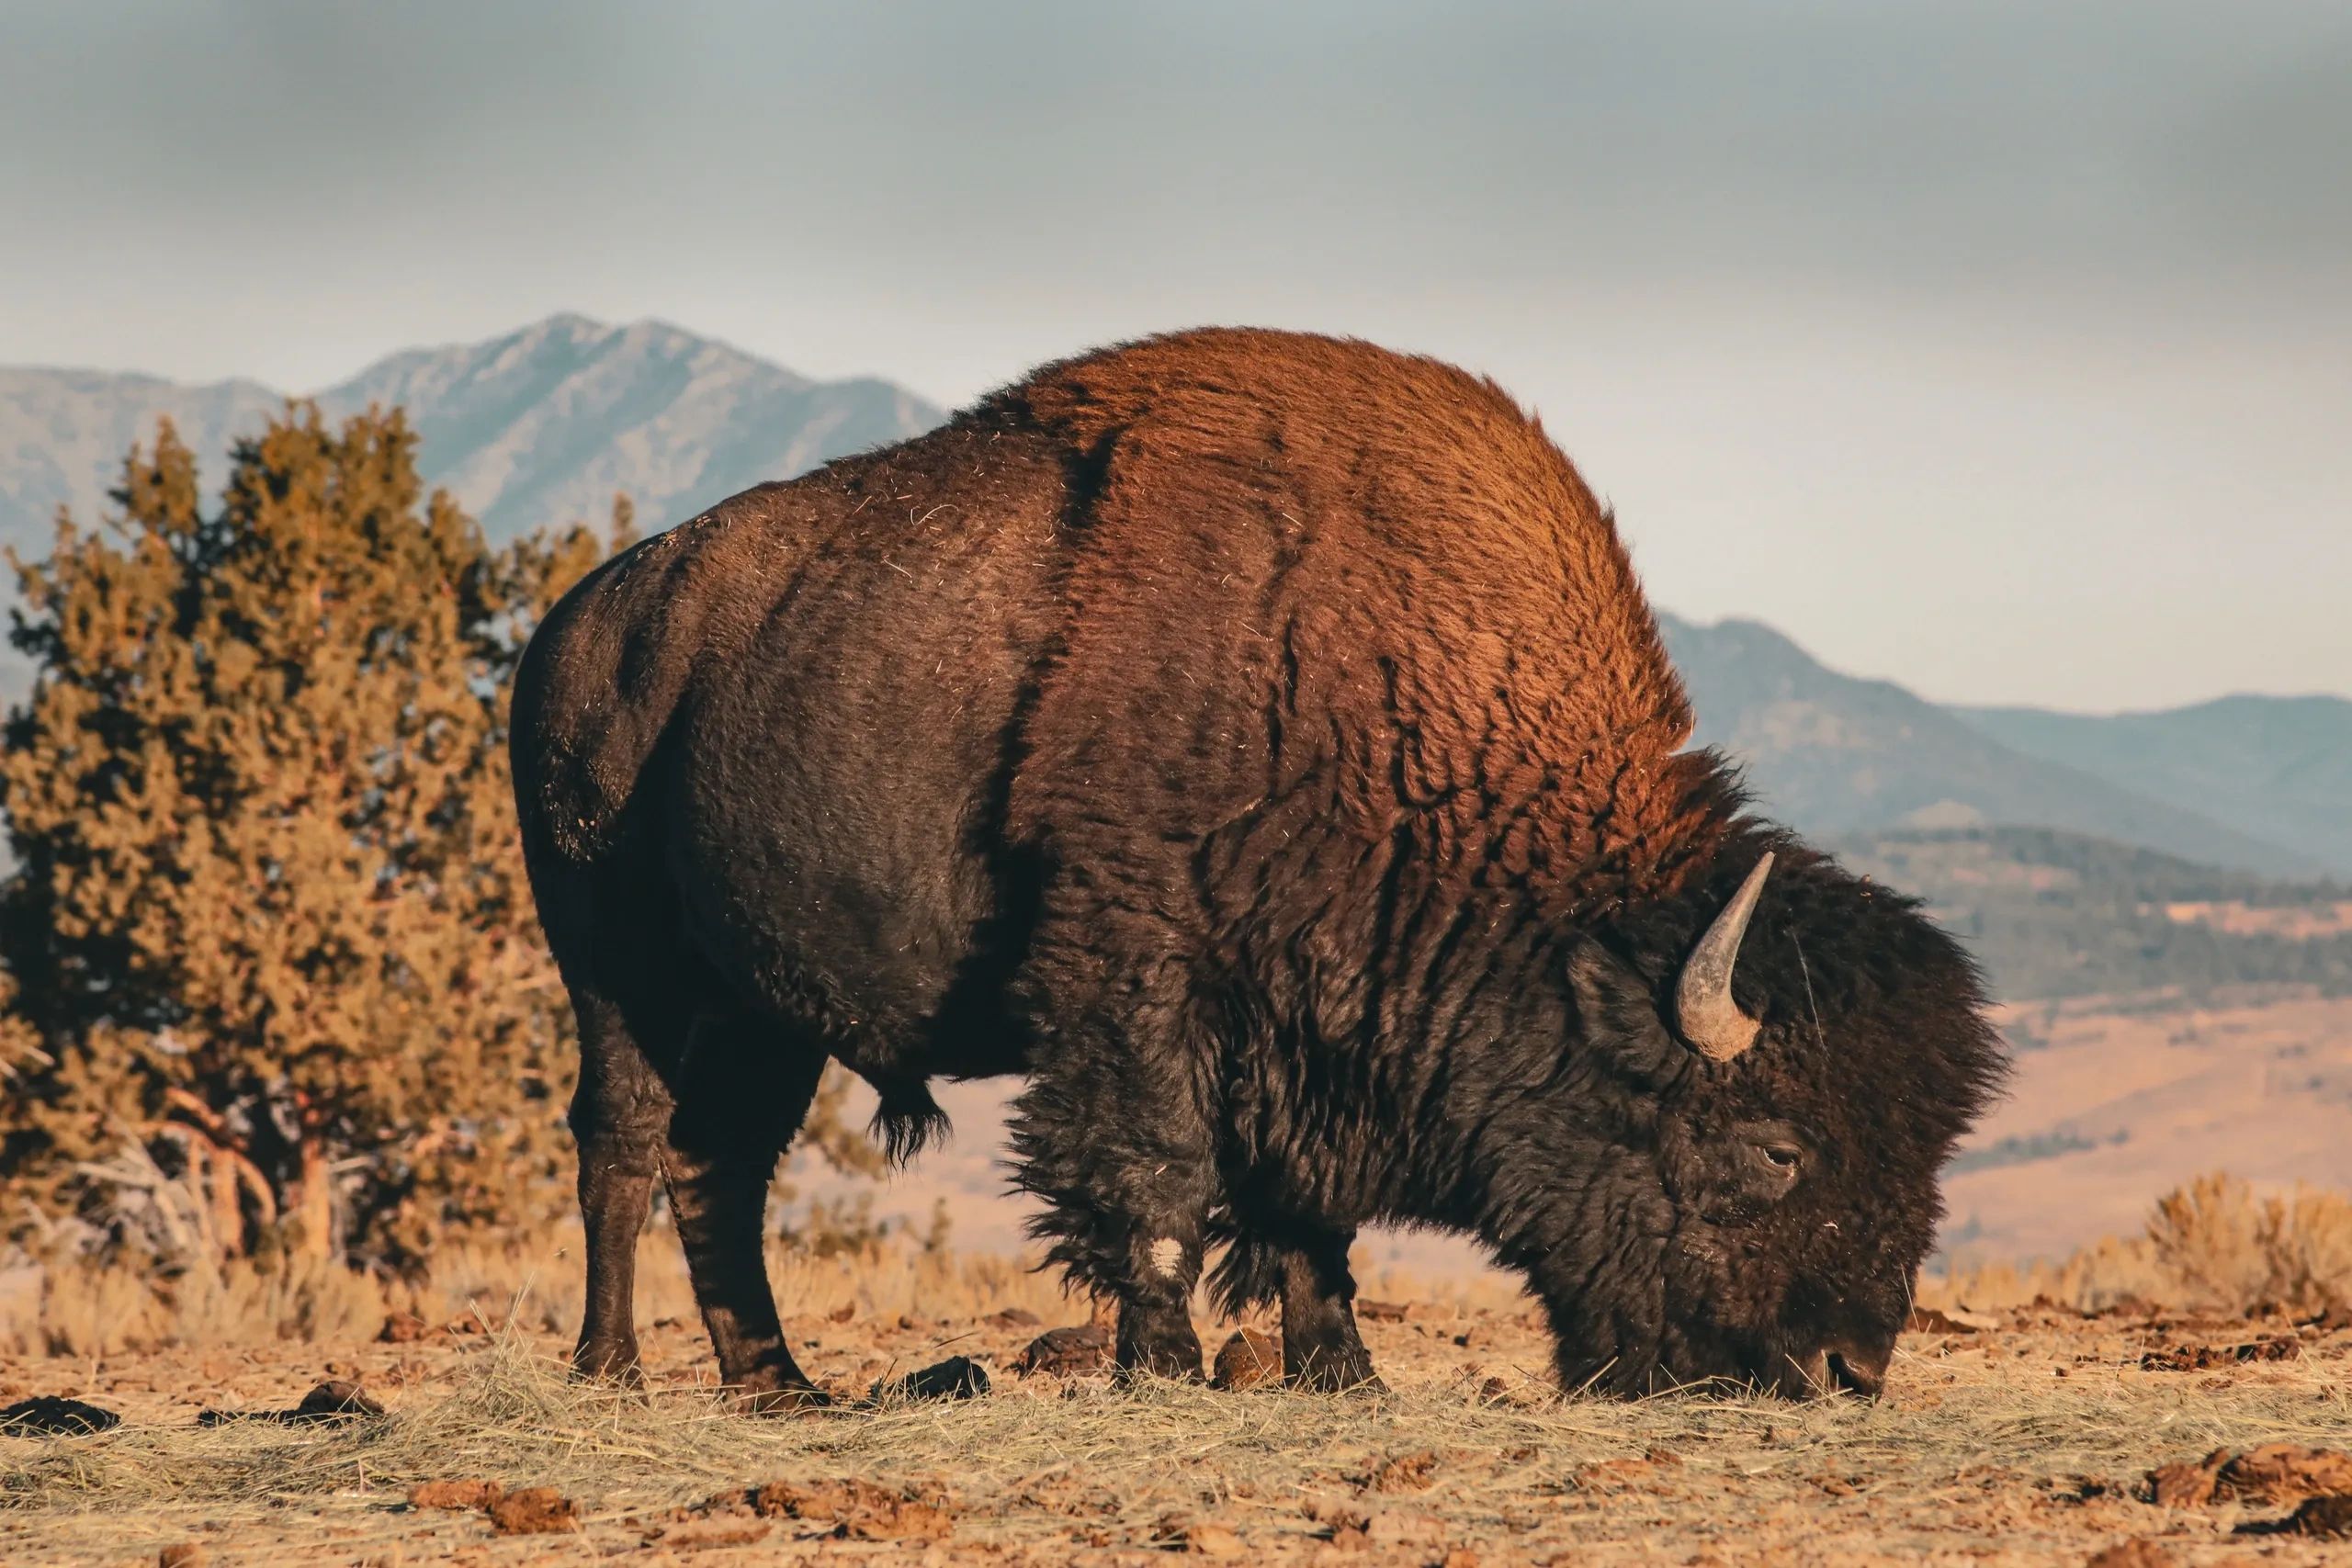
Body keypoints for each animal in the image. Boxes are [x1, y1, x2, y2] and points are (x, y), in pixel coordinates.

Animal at [511, 327, 2004, 1404]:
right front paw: (1165, 1365)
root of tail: (575, 623)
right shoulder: (1138, 987)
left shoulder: (1305, 1033)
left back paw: (778, 1380)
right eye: (1777, 1145)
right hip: (620, 966)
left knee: (721, 1161)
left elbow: (1302, 1216)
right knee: (625, 1140)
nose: (1844, 1370)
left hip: (764, 1006)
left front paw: (1345, 1373)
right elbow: (1159, 1181)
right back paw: (614, 1369)